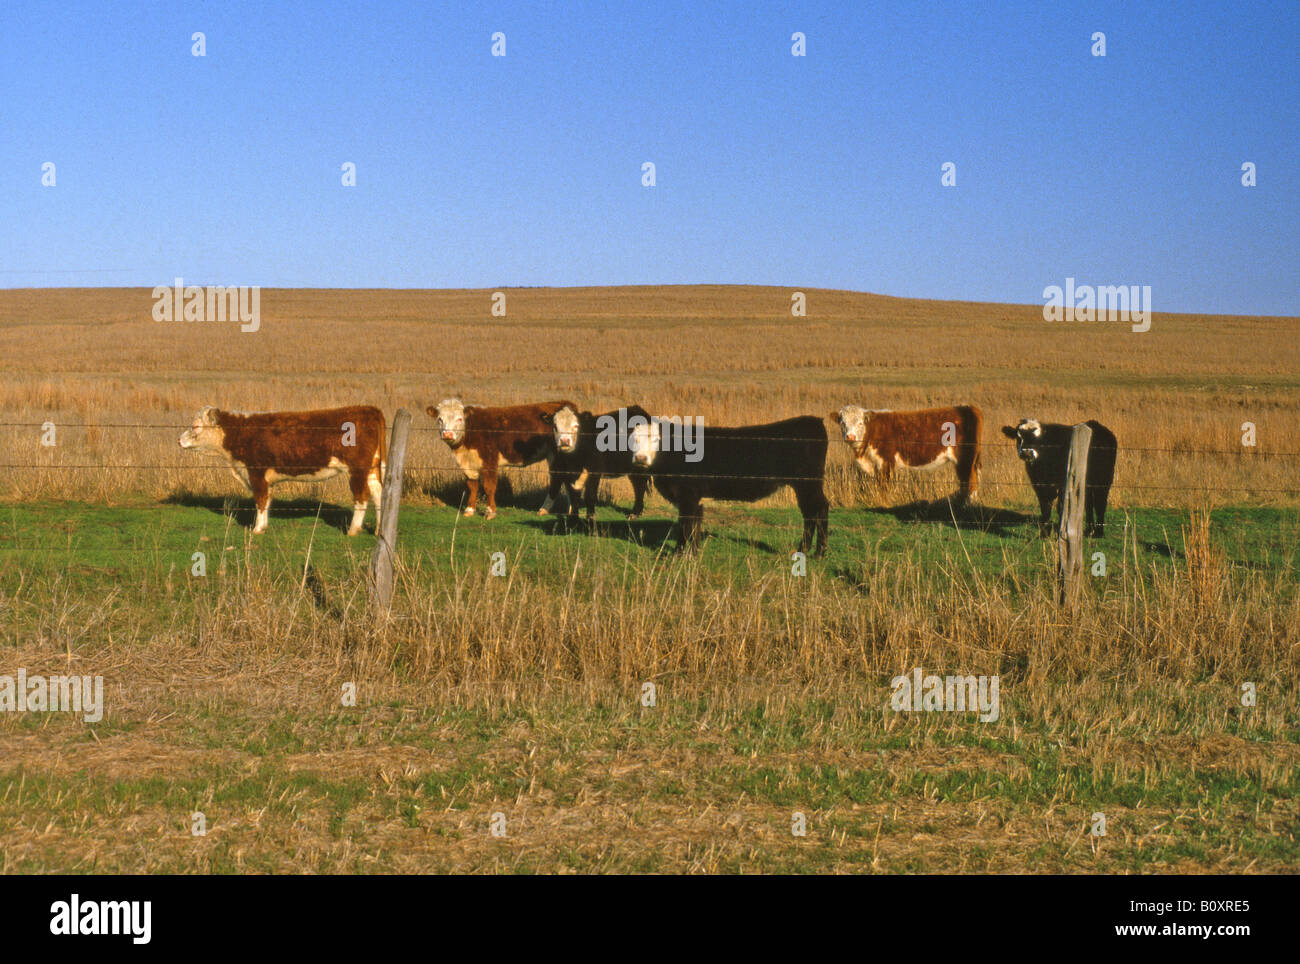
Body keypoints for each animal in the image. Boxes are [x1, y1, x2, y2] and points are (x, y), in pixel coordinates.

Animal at [178, 405, 386, 535]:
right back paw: (378, 530)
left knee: (361, 497)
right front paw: (263, 526)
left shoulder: (256, 474)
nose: (179, 440)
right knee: (379, 494)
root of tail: (369, 409)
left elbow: (261, 502)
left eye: (195, 425)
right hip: (373, 469)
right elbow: (267, 501)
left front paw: (257, 529)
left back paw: (353, 530)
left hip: (357, 470)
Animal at [428, 398, 576, 519]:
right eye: (440, 419)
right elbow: (472, 486)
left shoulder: (489, 461)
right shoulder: (469, 464)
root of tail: (564, 403)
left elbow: (489, 487)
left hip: (557, 456)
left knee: (557, 480)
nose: (447, 434)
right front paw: (469, 510)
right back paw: (570, 511)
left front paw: (490, 512)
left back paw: (544, 509)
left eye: (459, 419)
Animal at [629, 415, 830, 556]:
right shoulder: (696, 498)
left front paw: (679, 553)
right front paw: (694, 552)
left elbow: (685, 525)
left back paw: (815, 551)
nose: (640, 458)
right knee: (814, 512)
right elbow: (695, 526)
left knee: (817, 510)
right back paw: (812, 550)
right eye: (634, 440)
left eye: (656, 439)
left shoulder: (687, 495)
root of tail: (813, 421)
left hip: (808, 485)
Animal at [832, 405, 982, 503]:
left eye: (860, 423)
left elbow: (883, 485)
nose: (850, 436)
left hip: (966, 459)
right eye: (842, 423)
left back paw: (970, 503)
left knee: (971, 480)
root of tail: (968, 407)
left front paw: (883, 502)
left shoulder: (885, 461)